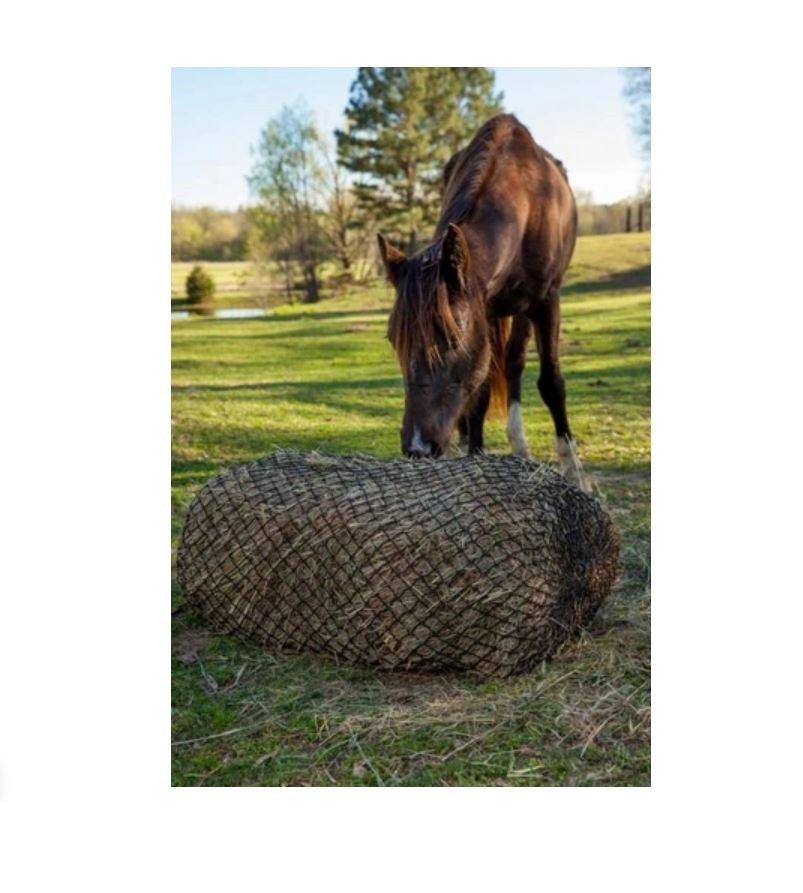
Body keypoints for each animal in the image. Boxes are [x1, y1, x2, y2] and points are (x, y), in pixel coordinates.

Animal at [378, 113, 589, 492]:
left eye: (451, 339)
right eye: (393, 340)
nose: (417, 448)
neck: (524, 204)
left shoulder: (547, 302)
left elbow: (551, 384)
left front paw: (574, 472)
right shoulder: (484, 311)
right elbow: (480, 392)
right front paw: (473, 455)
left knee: (515, 361)